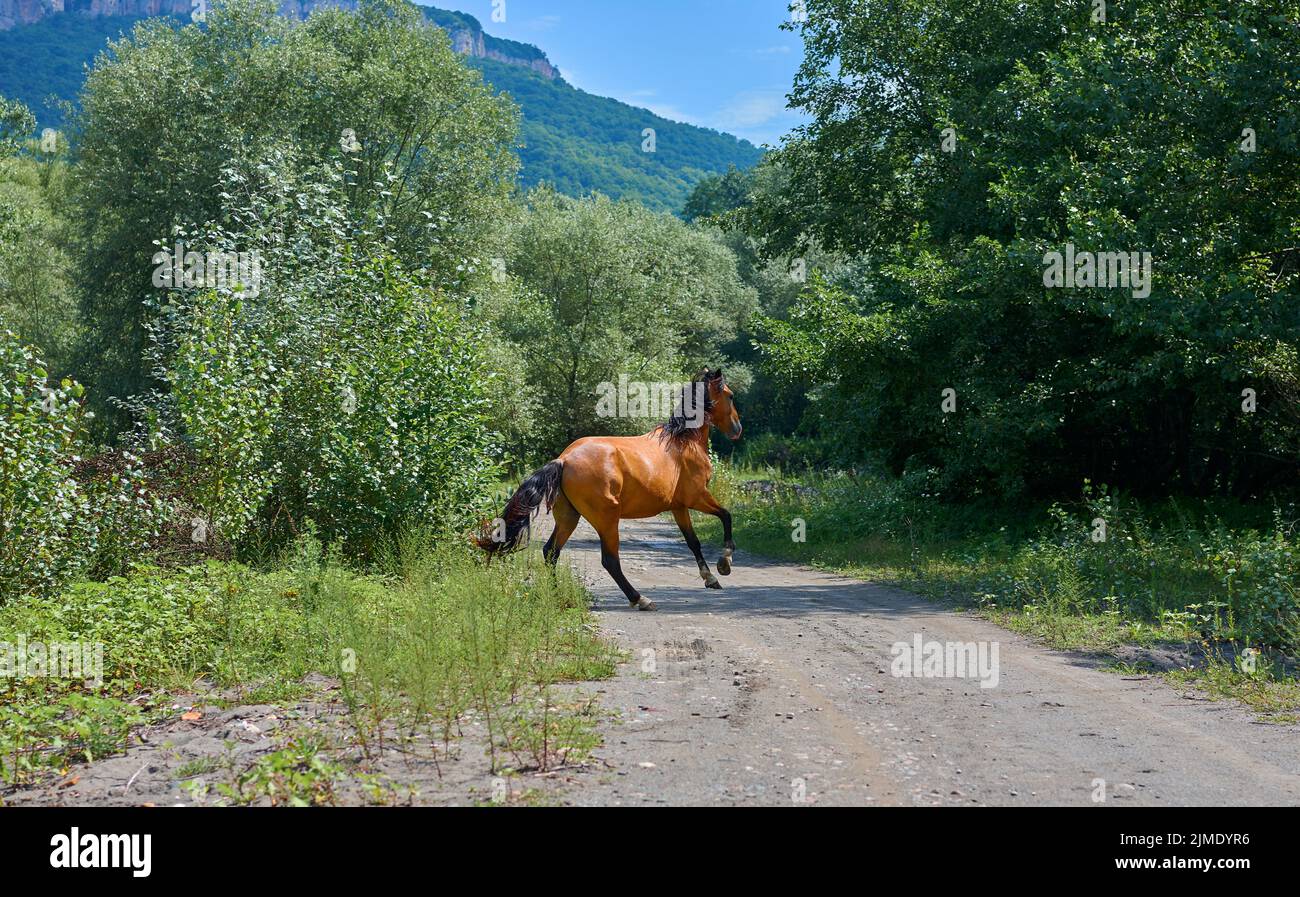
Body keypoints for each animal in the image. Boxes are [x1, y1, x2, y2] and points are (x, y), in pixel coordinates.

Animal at [479, 368, 742, 611]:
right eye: (730, 396)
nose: (737, 429)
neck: (684, 441)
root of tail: (564, 459)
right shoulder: (697, 498)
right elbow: (726, 515)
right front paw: (725, 563)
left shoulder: (679, 507)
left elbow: (693, 541)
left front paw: (711, 578)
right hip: (607, 519)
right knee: (610, 560)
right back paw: (640, 599)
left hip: (568, 517)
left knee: (551, 552)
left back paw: (555, 595)